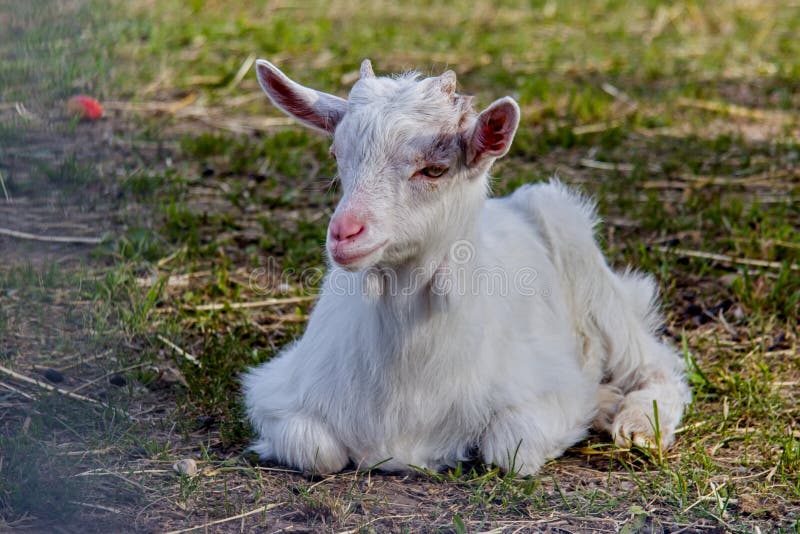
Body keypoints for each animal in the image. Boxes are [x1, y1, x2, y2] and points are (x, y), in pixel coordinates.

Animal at [243, 59, 691, 476]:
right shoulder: (277, 389)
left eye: (434, 169)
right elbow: (318, 451)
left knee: (655, 363)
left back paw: (636, 425)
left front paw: (597, 403)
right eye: (337, 155)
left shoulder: (545, 387)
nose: (344, 233)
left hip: (583, 259)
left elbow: (511, 448)